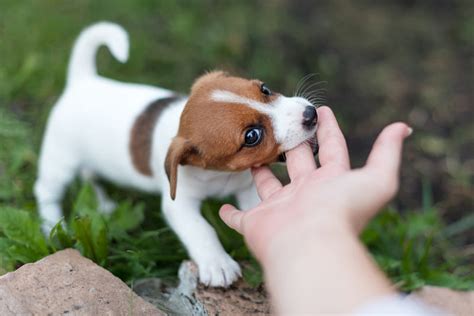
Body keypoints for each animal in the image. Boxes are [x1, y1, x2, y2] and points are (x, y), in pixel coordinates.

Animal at [34, 22, 318, 288]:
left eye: (265, 89)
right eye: (252, 136)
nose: (311, 113)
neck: (219, 175)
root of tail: (82, 81)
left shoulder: (247, 188)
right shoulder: (178, 204)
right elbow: (202, 229)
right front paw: (217, 263)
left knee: (89, 175)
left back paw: (101, 203)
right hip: (60, 161)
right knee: (47, 190)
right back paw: (53, 226)